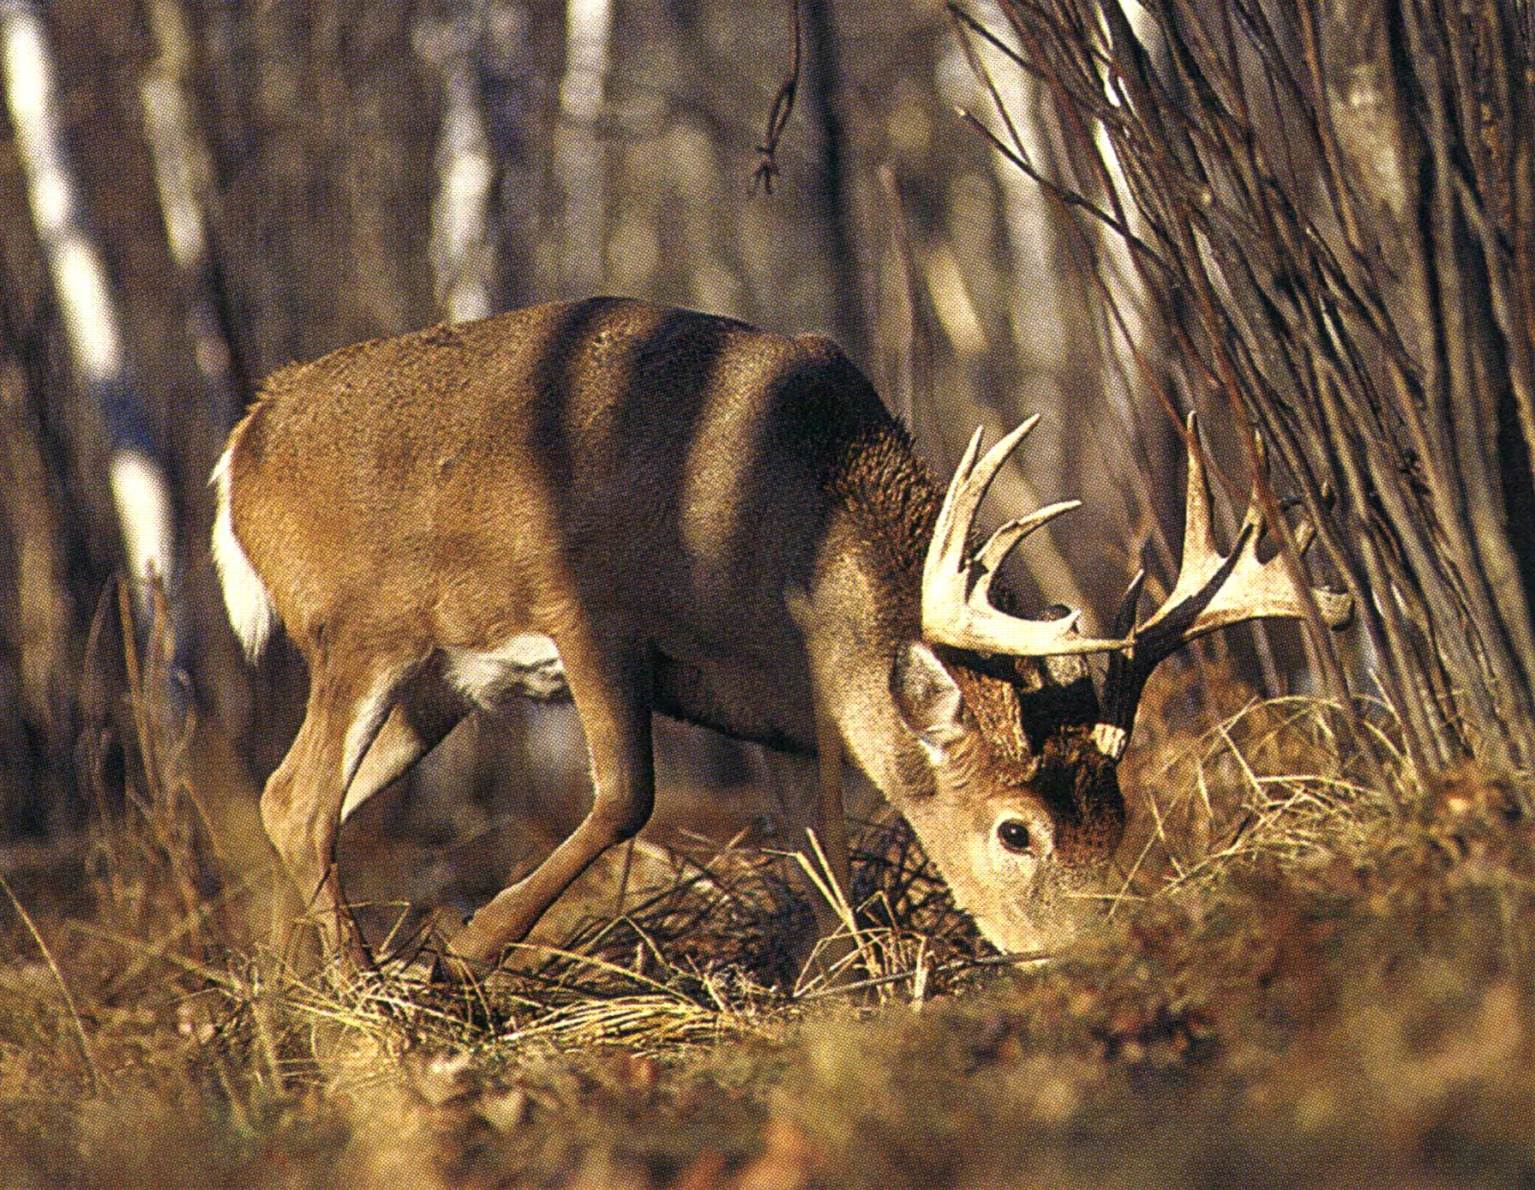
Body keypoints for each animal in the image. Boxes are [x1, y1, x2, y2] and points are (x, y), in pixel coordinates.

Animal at [211, 297, 1351, 980]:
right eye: (1014, 829)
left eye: (1116, 822)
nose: (1082, 954)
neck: (776, 529)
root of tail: (243, 441)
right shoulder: (590, 605)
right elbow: (629, 795)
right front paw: (466, 946)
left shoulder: (795, 712)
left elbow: (825, 860)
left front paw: (839, 988)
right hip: (365, 627)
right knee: (301, 798)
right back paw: (375, 995)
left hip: (439, 685)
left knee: (286, 801)